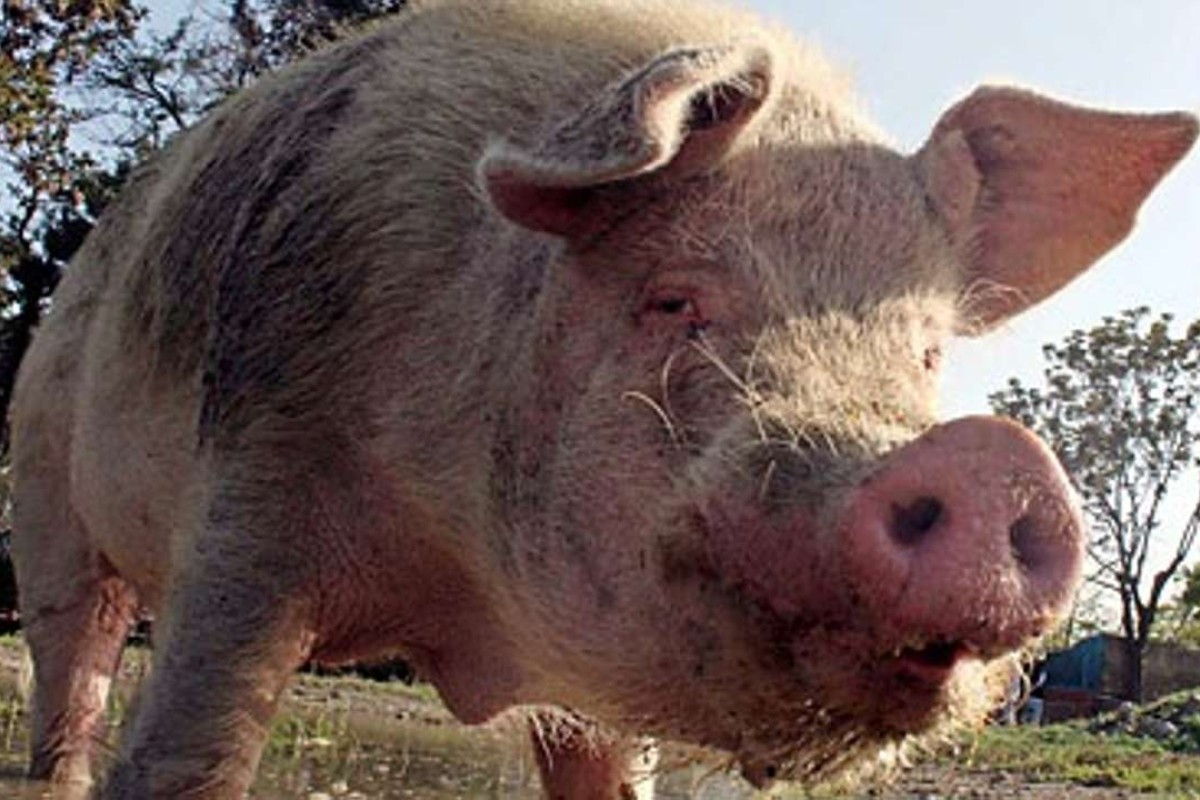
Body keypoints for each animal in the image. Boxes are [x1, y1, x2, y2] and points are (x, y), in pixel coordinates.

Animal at [8, 0, 1196, 797]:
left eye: (928, 352)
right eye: (674, 298)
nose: (995, 460)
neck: (449, 587)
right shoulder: (251, 504)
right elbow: (192, 749)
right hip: (44, 497)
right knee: (73, 670)